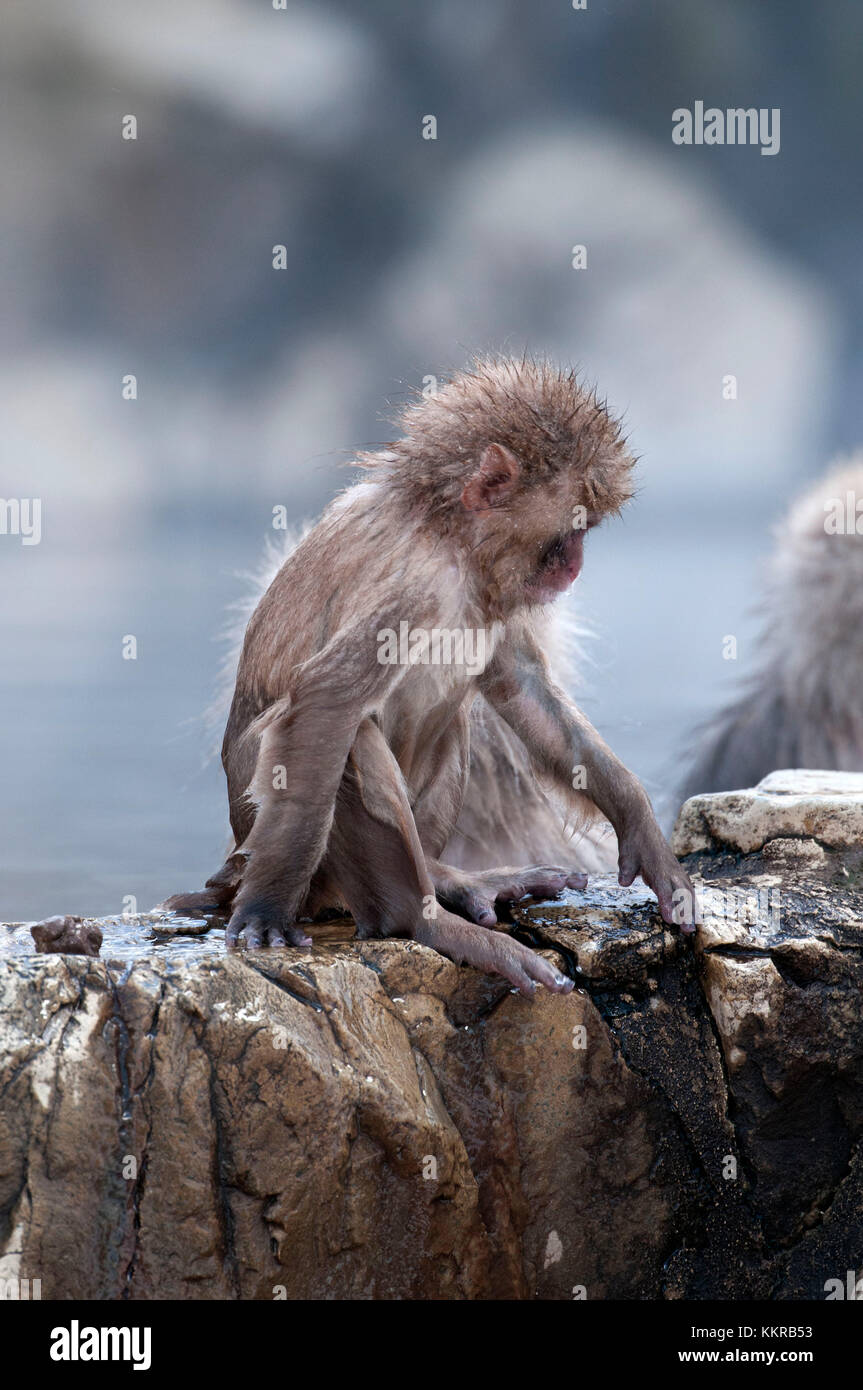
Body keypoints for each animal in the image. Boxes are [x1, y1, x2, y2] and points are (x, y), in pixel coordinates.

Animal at [167, 357, 697, 995]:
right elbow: (325, 698)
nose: (575, 566)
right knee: (350, 739)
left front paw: (642, 827)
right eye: (569, 532)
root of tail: (232, 860)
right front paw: (268, 909)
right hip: (283, 851)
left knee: (452, 720)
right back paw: (418, 919)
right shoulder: (414, 581)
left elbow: (521, 688)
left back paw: (450, 879)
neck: (449, 532)